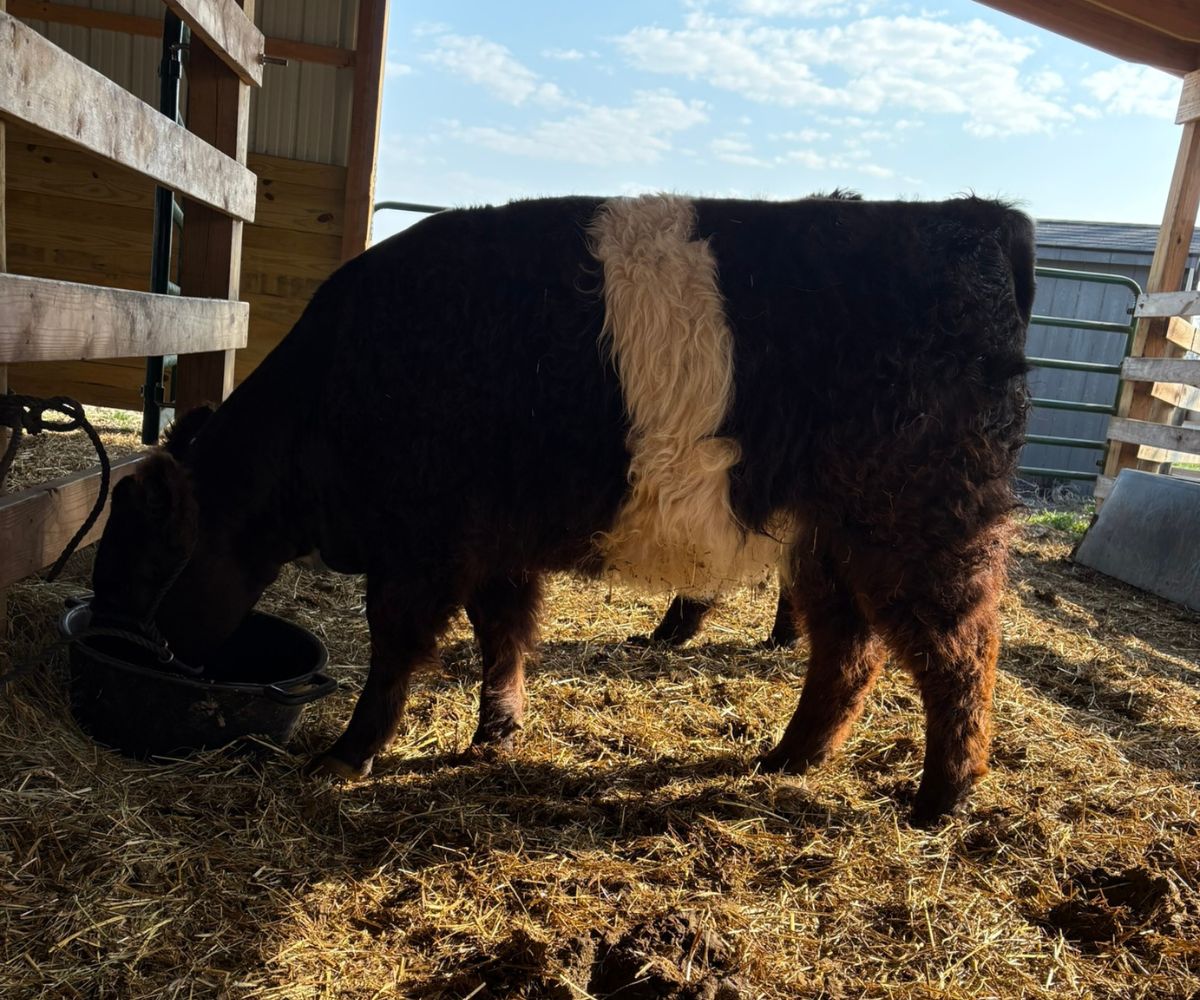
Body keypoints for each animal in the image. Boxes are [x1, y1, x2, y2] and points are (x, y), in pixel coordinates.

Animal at [90, 193, 1034, 825]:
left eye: (143, 553)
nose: (117, 641)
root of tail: (980, 217)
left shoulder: (420, 547)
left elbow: (397, 654)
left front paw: (347, 755)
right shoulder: (494, 547)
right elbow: (503, 635)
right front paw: (495, 735)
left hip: (922, 523)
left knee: (958, 653)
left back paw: (939, 799)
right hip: (828, 539)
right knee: (849, 652)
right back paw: (787, 760)